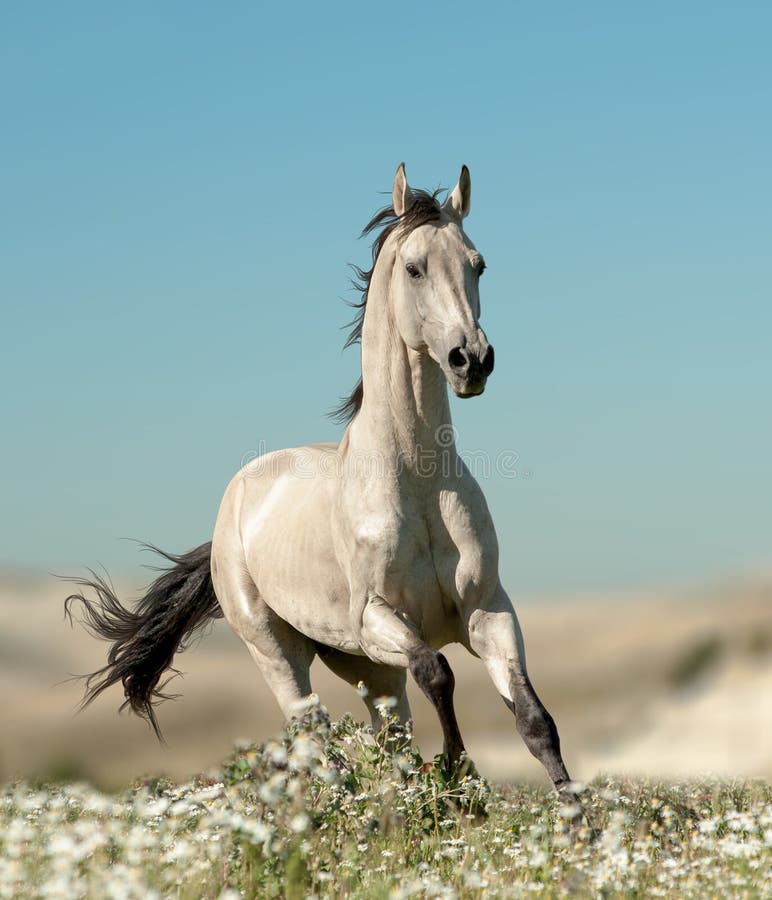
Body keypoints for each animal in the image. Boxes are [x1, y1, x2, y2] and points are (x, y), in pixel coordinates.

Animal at [66, 164, 575, 797]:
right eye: (414, 268)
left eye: (478, 264)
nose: (471, 360)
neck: (418, 481)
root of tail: (235, 504)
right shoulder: (377, 618)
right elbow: (438, 671)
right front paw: (459, 775)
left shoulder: (487, 613)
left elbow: (534, 719)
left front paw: (574, 815)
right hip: (282, 653)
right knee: (316, 736)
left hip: (369, 669)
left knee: (390, 739)